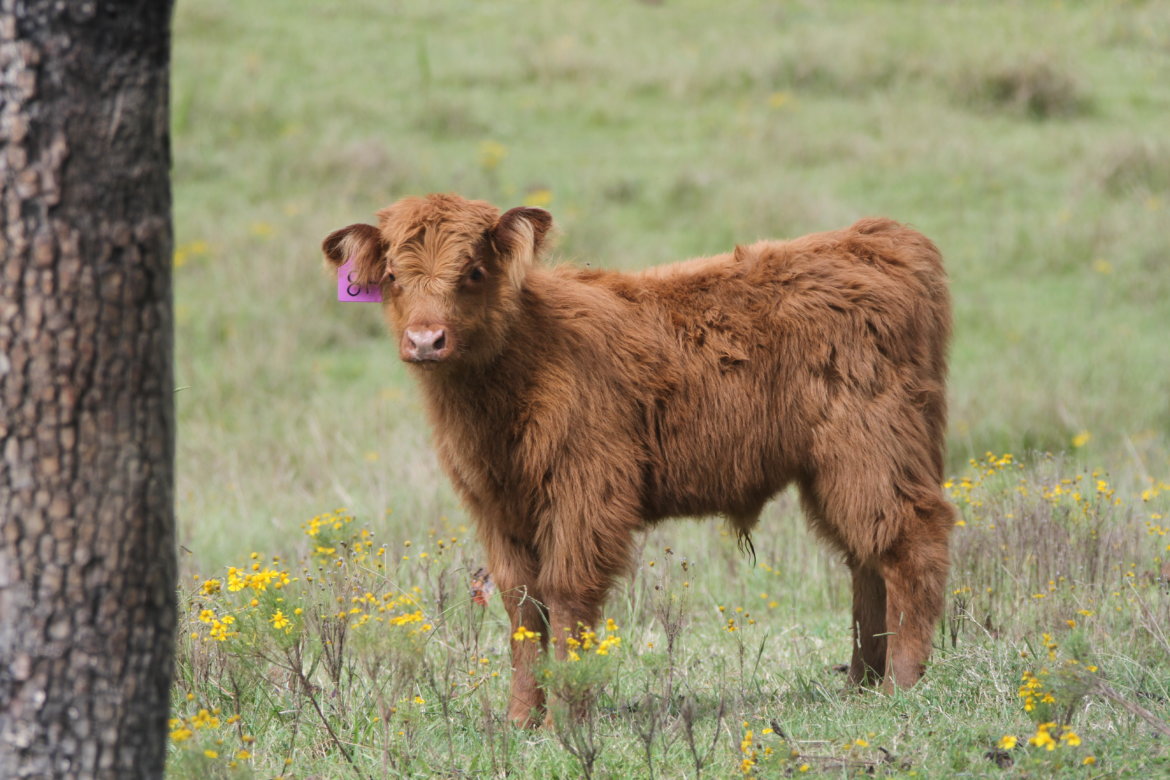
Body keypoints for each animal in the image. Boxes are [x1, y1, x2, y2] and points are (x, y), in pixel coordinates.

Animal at [322, 193, 954, 726]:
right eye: (394, 277)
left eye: (473, 272)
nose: (426, 340)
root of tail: (872, 237)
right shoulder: (495, 507)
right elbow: (522, 609)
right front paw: (521, 720)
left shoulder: (585, 492)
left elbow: (566, 597)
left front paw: (567, 718)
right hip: (837, 471)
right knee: (866, 558)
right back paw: (860, 682)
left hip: (871, 449)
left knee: (909, 543)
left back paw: (899, 684)